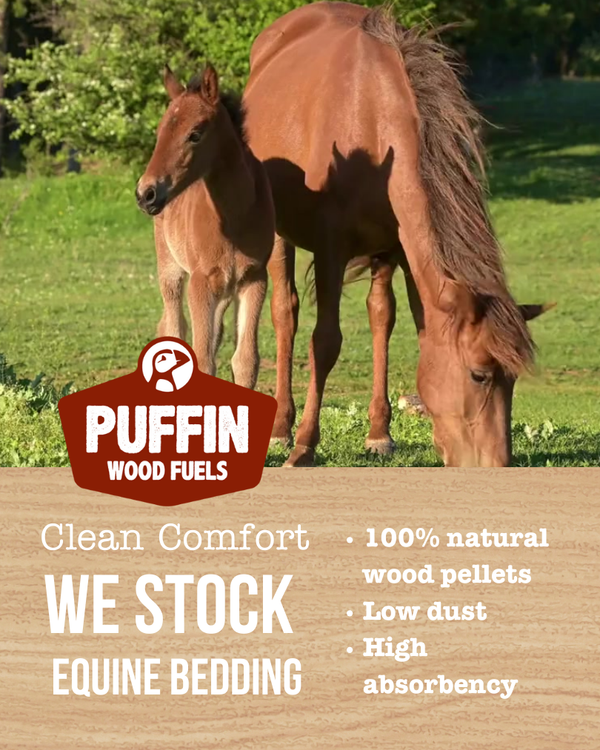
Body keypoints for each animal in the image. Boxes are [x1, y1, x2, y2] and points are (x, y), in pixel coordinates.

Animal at [136, 64, 274, 390]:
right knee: (173, 326)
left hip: (223, 287)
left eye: (194, 135)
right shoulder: (199, 282)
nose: (146, 193)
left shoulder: (254, 278)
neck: (233, 216)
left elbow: (245, 361)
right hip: (171, 270)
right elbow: (202, 358)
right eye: (160, 133)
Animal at [244, 2, 550, 467]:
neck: (374, 120)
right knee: (285, 313)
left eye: (513, 377)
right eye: (479, 374)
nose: (497, 465)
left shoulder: (399, 248)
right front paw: (304, 444)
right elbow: (325, 342)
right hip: (280, 233)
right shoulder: (331, 250)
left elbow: (393, 322)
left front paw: (380, 434)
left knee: (378, 314)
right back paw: (281, 427)